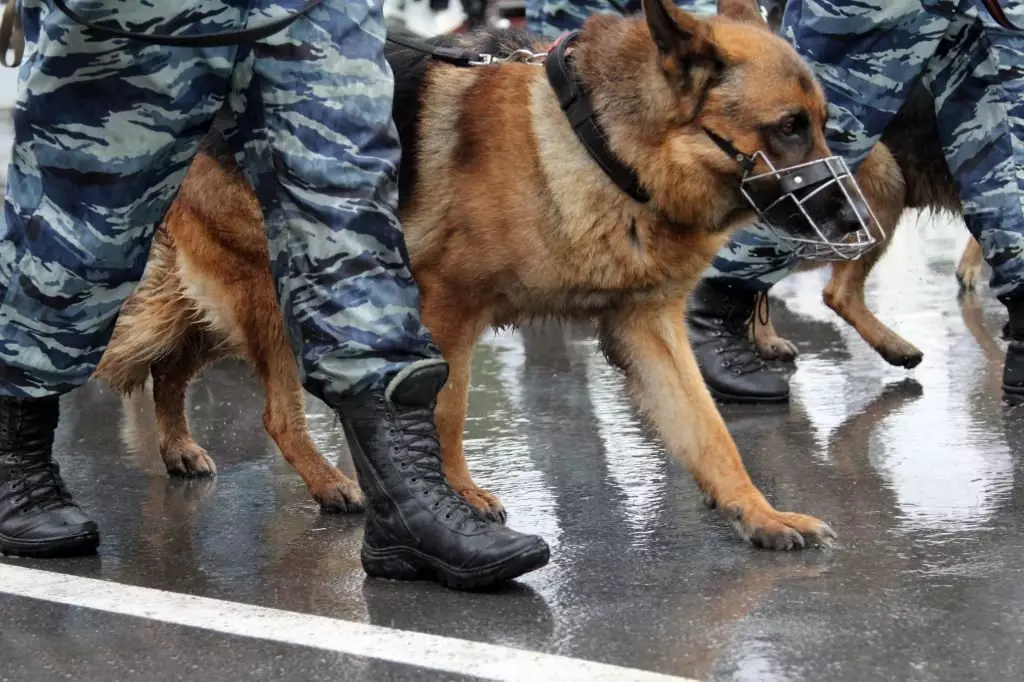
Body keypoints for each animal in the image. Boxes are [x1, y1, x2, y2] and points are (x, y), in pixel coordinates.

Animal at [92, 0, 880, 544]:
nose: (853, 220)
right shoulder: (448, 309)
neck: (601, 147)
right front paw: (459, 499)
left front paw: (760, 514)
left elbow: (710, 432)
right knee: (272, 411)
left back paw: (179, 447)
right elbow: (446, 409)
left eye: (824, 123)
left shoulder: (649, 328)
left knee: (170, 365)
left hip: (233, 305)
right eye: (787, 128)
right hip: (284, 293)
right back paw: (331, 484)